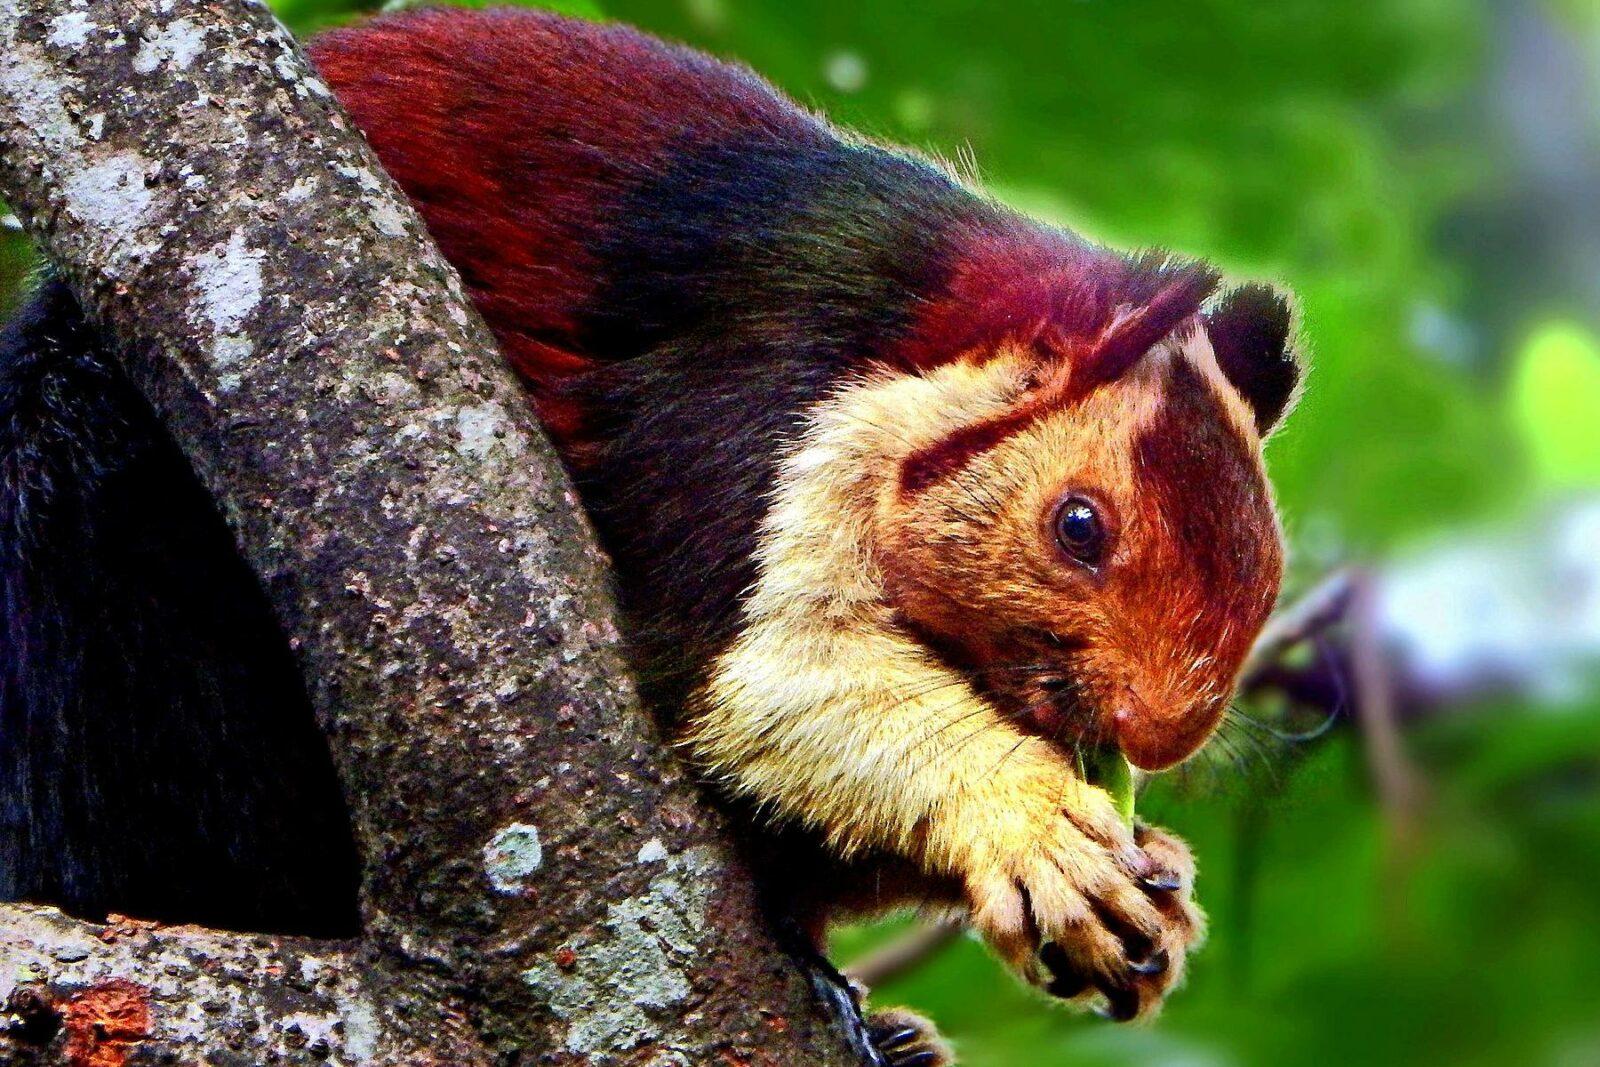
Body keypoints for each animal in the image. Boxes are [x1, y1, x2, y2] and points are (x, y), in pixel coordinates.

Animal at [0, 9, 1299, 1063]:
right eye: (1079, 525)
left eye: (1265, 579)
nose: (1154, 730)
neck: (916, 332)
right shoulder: (735, 415)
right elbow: (749, 682)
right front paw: (1029, 821)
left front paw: (1156, 883)